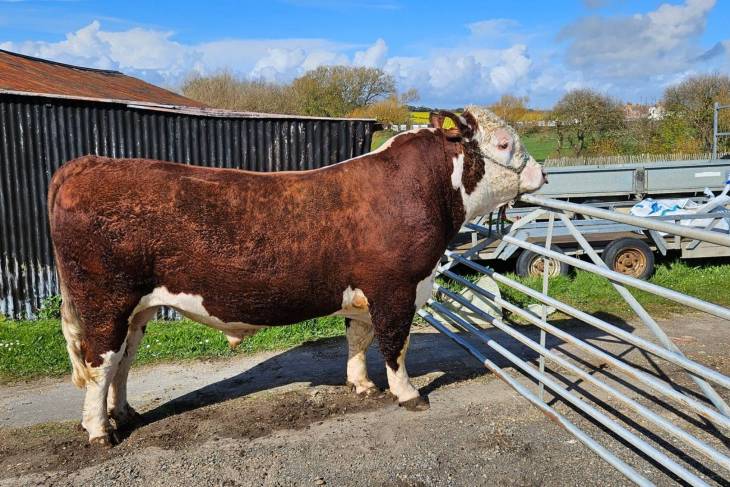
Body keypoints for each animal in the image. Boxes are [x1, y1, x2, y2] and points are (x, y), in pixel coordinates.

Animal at [48, 107, 546, 446]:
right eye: (504, 143)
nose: (541, 173)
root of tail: (86, 163)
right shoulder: (397, 288)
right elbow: (395, 346)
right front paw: (407, 394)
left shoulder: (363, 292)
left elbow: (359, 338)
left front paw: (361, 384)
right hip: (104, 301)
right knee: (100, 364)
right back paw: (100, 430)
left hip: (135, 309)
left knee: (123, 361)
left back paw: (125, 413)